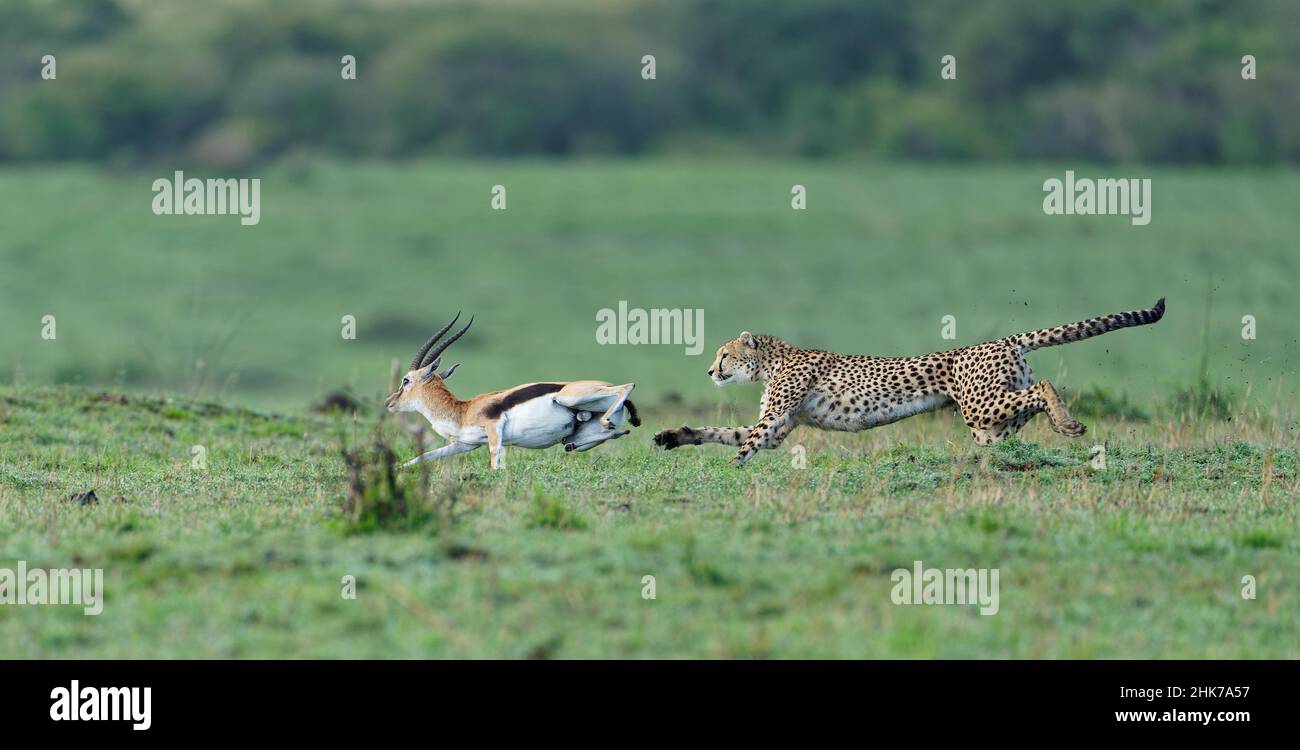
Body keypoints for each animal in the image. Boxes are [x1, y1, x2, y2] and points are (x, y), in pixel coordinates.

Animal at [385, 313, 641, 470]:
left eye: (406, 380)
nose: (389, 402)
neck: (462, 410)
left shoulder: (494, 427)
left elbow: (495, 465)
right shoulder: (465, 444)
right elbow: (424, 456)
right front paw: (397, 469)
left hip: (569, 396)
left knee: (628, 386)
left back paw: (609, 418)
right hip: (578, 435)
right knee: (612, 434)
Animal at [654, 298, 1165, 466]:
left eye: (724, 354)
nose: (711, 370)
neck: (773, 359)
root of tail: (1001, 340)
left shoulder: (775, 419)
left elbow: (743, 445)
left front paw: (730, 474)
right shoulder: (781, 426)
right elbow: (723, 433)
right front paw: (673, 435)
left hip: (980, 406)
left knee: (1042, 391)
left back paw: (1068, 423)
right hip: (988, 423)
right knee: (1027, 407)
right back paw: (1062, 426)